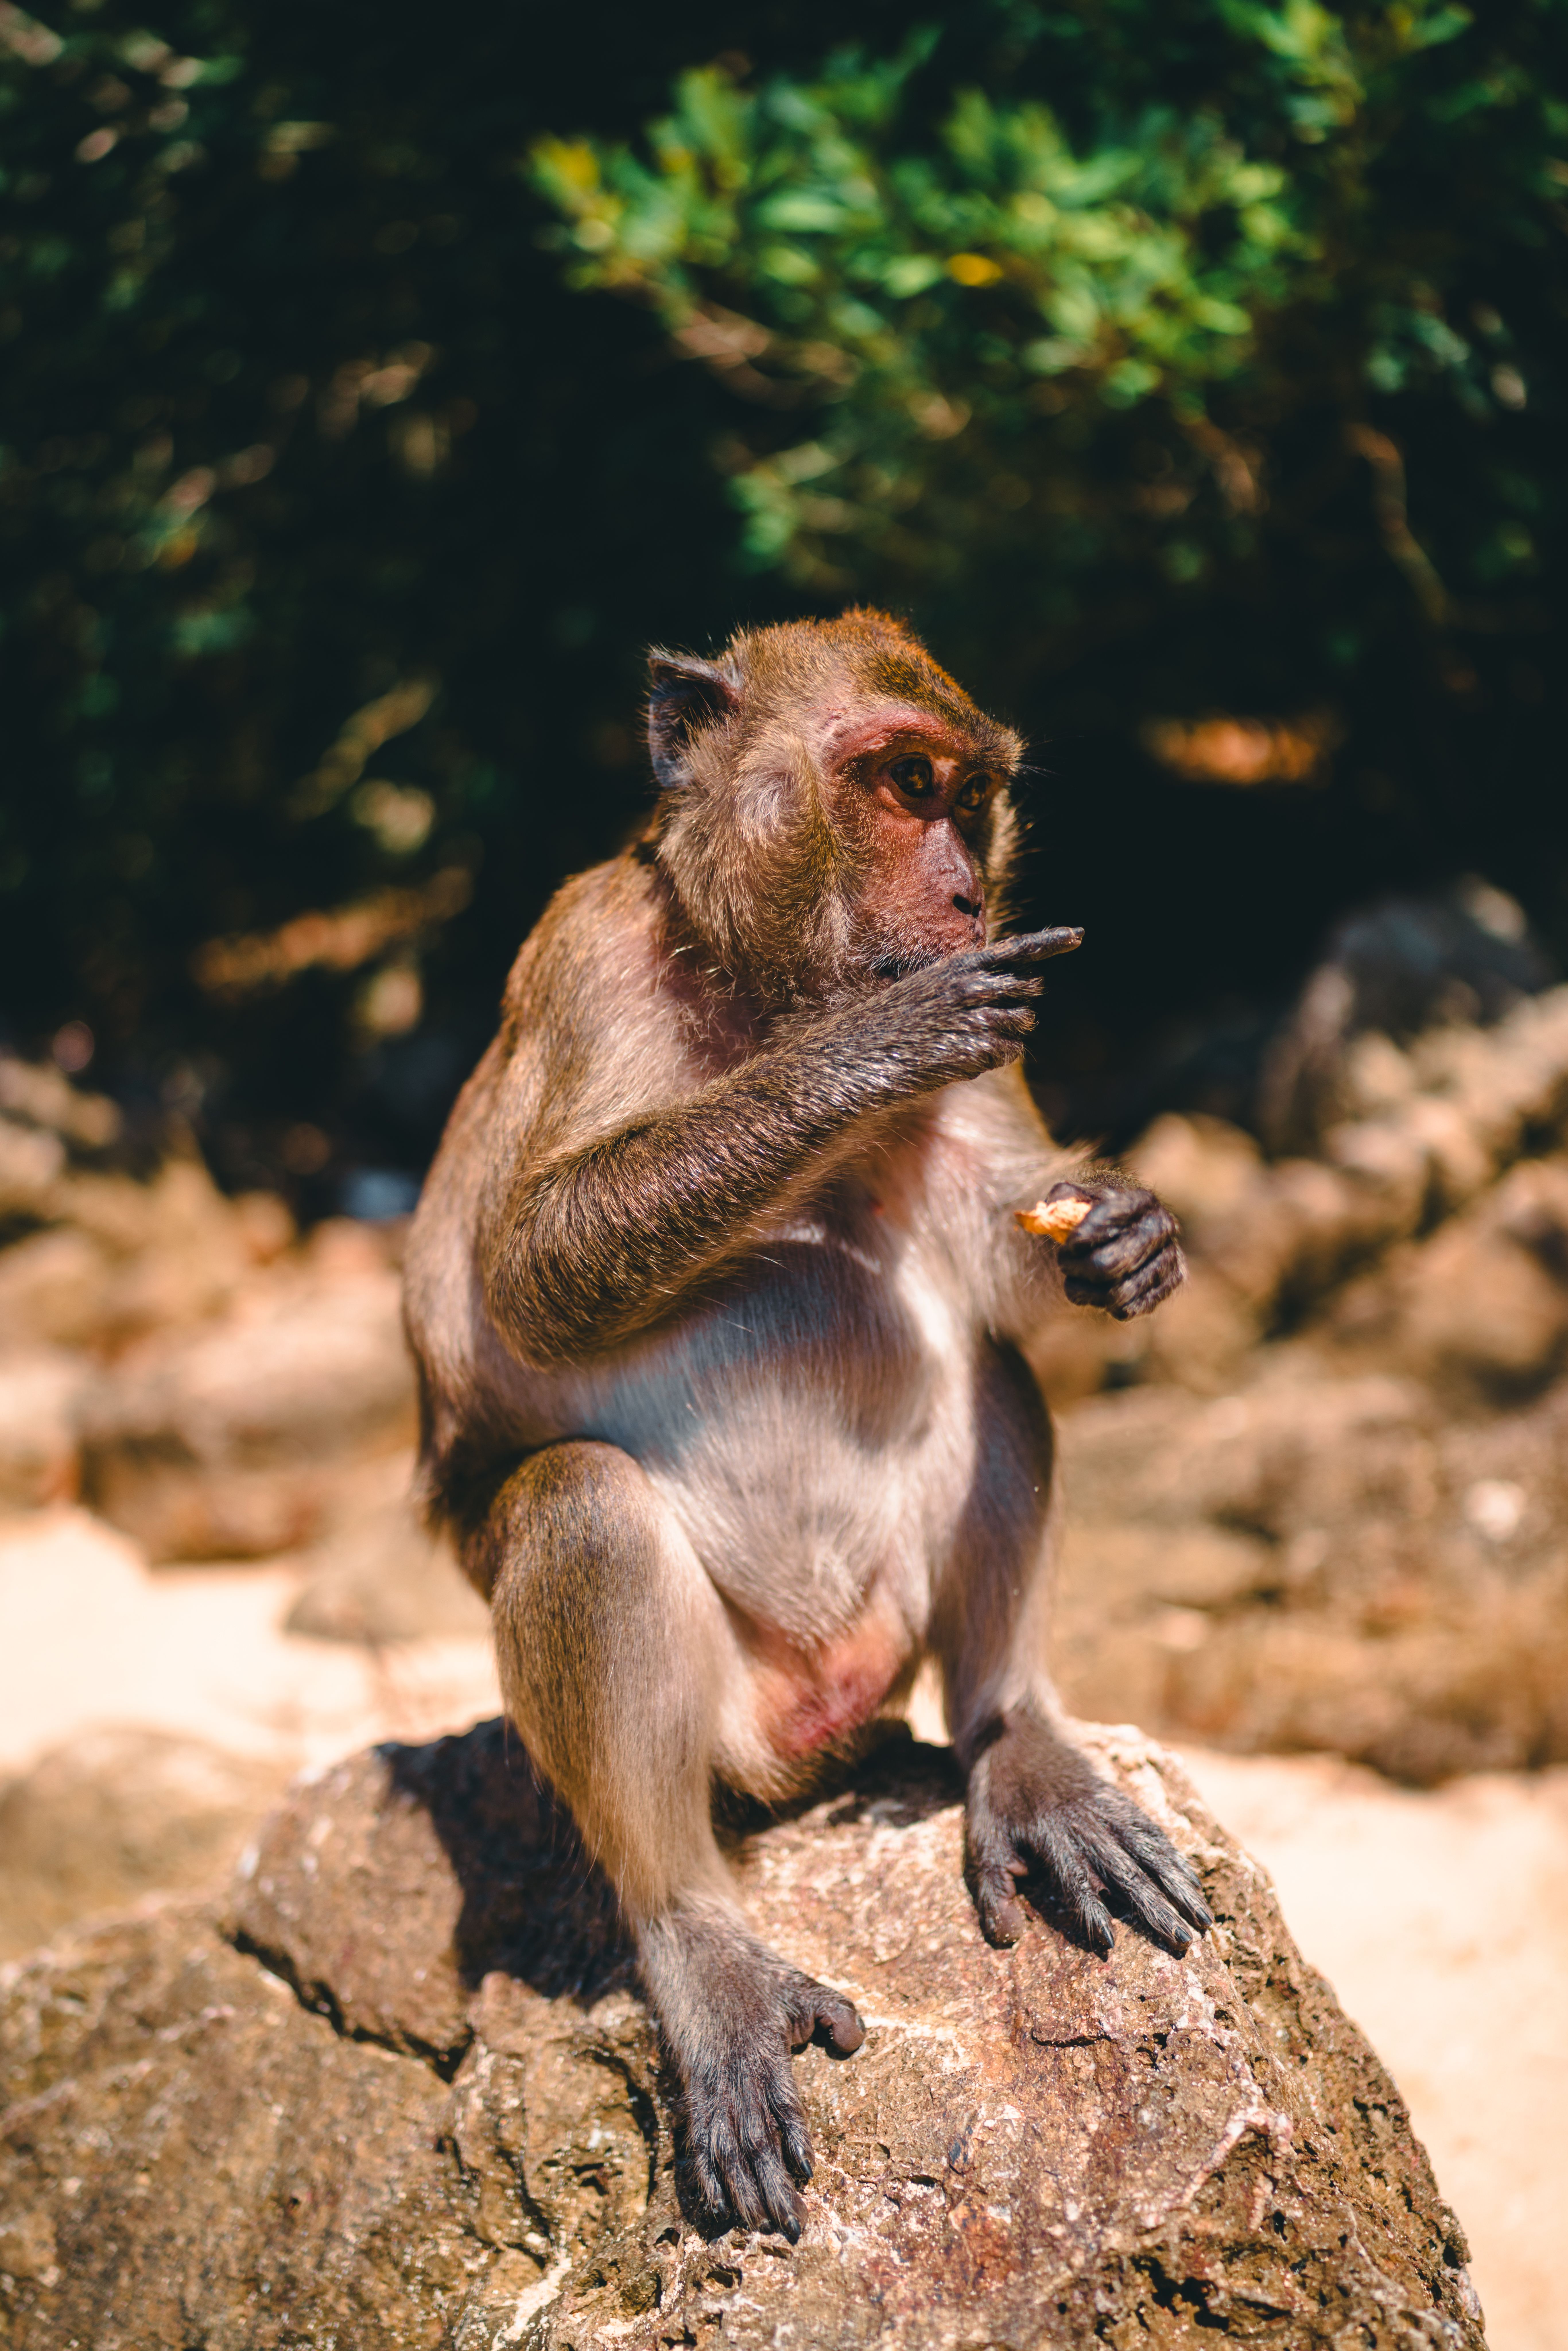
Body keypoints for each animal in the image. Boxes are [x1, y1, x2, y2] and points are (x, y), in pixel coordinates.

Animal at [402, 609, 1206, 2243]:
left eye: (970, 798)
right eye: (900, 784)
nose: (963, 893)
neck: (755, 990)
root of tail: (813, 1728)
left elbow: (1001, 1228)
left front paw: (1123, 1232)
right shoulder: (587, 958)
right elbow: (529, 1270)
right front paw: (873, 1048)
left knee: (990, 1374)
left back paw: (1012, 1736)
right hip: (729, 1722)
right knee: (582, 1507)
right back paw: (696, 1941)